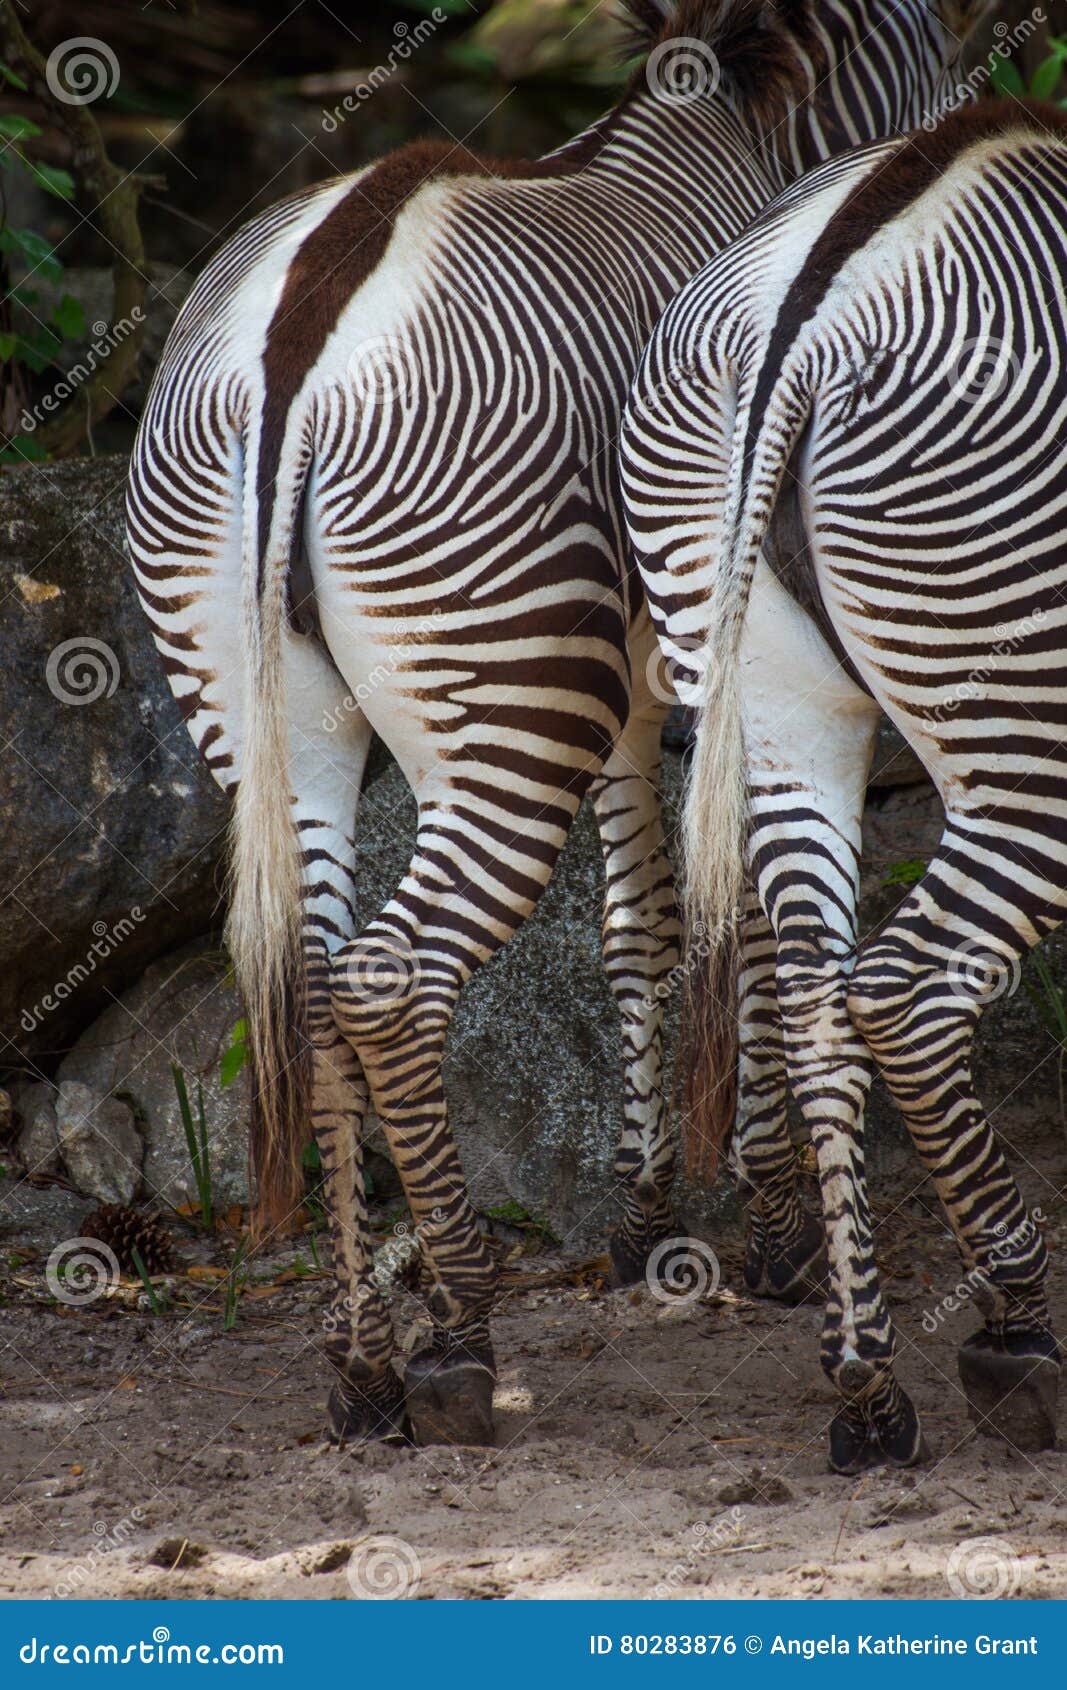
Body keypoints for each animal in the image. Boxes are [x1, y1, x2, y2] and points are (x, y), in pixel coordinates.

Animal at [126, 0, 974, 1448]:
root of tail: (292, 350)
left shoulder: (640, 685)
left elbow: (639, 925)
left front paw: (642, 1214)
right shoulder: (693, 674)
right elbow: (742, 929)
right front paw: (767, 1224)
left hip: (265, 714)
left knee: (314, 982)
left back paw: (360, 1368)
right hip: (508, 693)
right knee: (389, 979)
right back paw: (459, 1333)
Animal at [621, 96, 1066, 1471]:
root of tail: (797, 333)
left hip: (772, 698)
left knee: (820, 996)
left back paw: (865, 1387)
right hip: (1020, 707)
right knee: (902, 992)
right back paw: (1010, 1336)